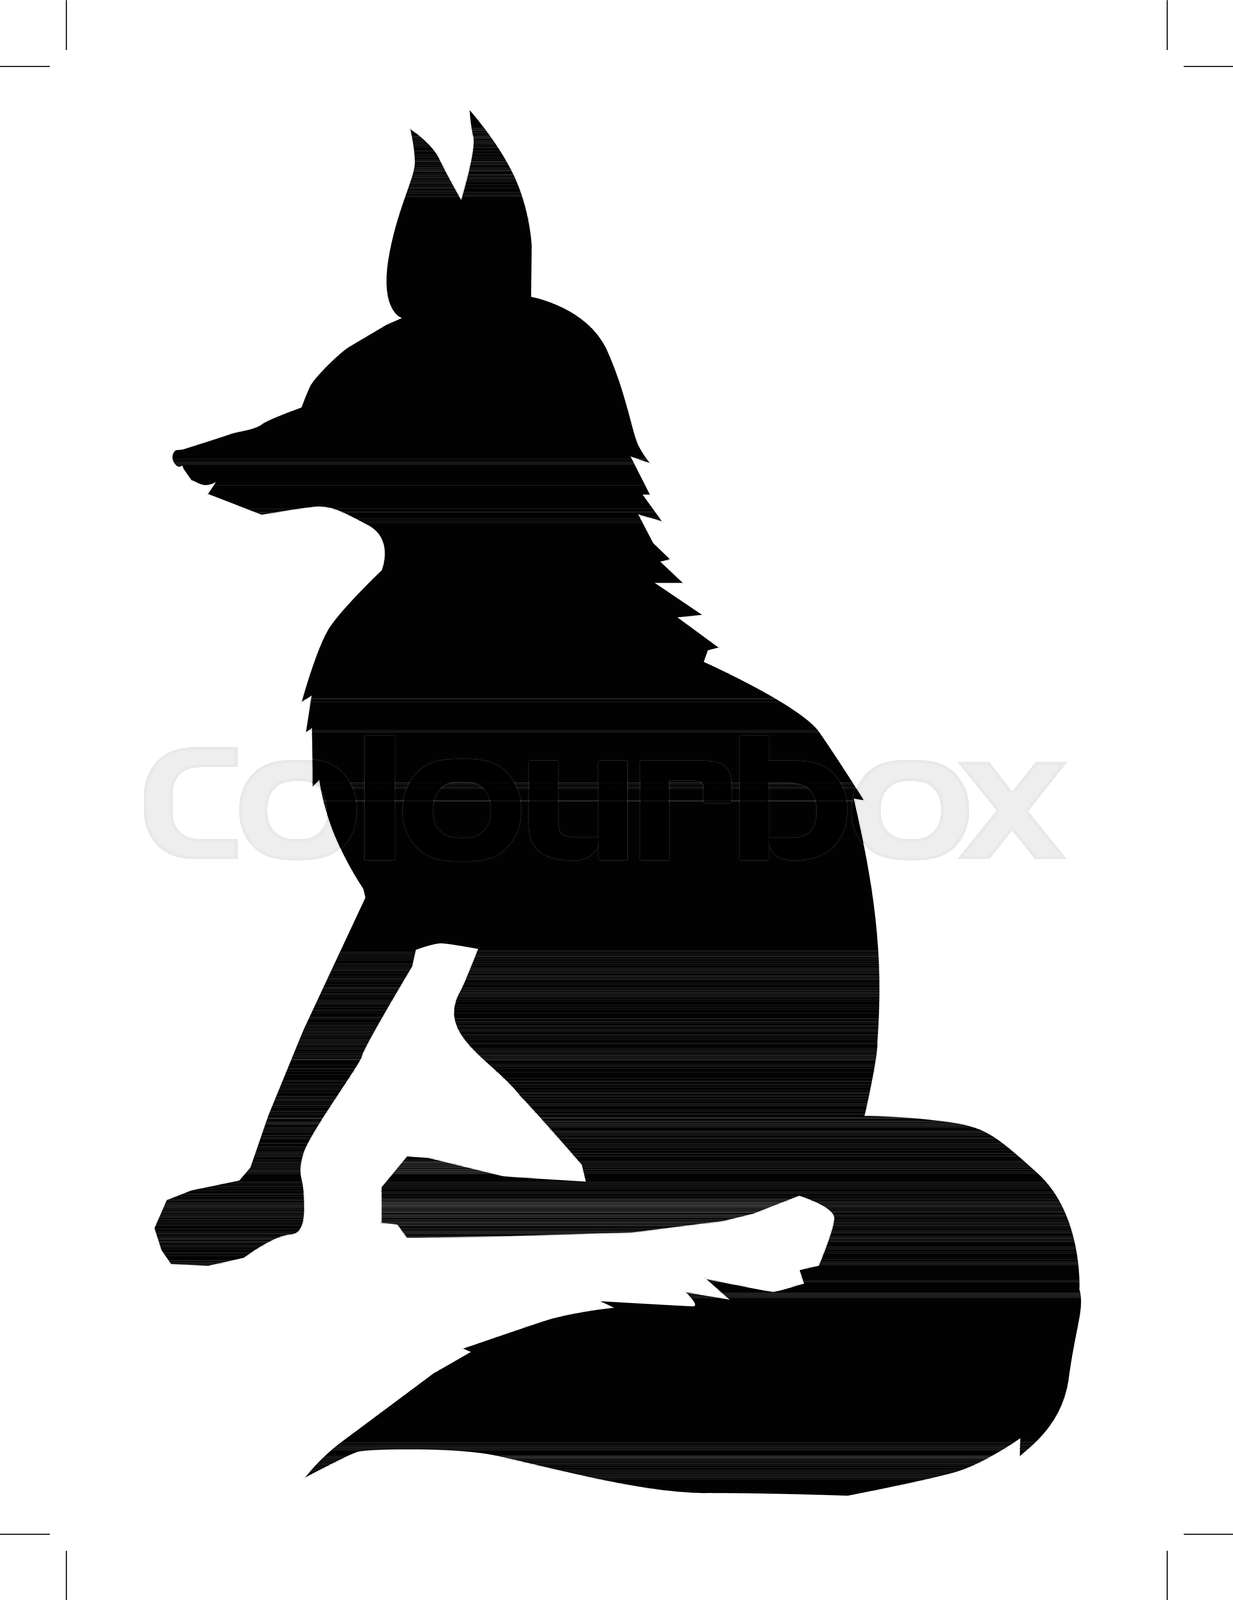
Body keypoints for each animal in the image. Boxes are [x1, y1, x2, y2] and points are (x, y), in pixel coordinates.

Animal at [157, 116, 1079, 1495]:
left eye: (349, 401)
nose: (192, 460)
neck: (495, 607)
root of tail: (843, 1133)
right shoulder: (394, 898)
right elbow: (317, 1042)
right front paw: (257, 1199)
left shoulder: (410, 894)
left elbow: (323, 1044)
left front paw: (265, 1206)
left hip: (524, 991)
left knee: (681, 1192)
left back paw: (451, 1187)